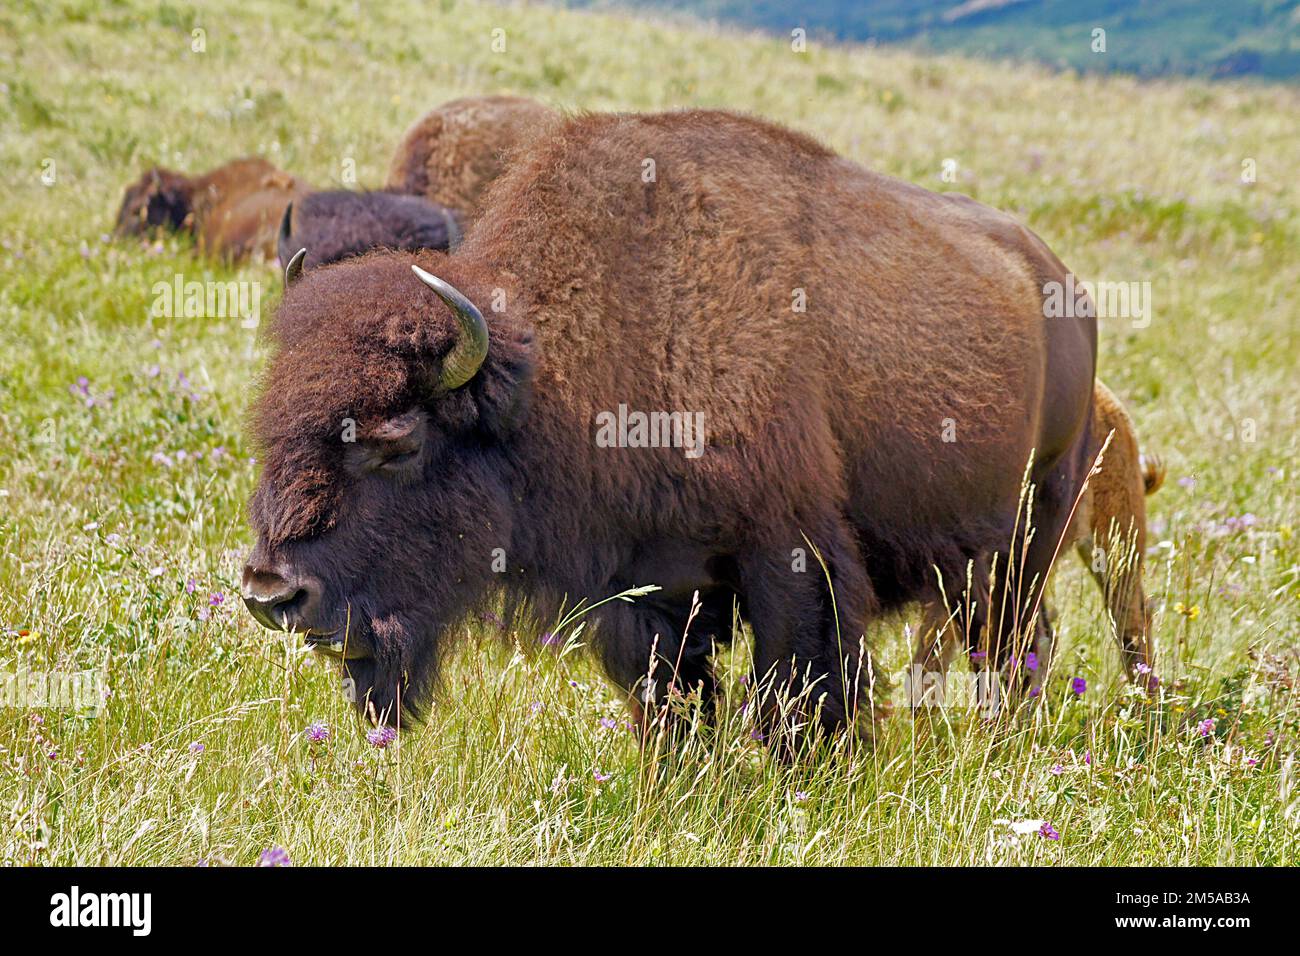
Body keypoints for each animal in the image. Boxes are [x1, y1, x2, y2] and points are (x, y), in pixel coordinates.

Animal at [242, 110, 1096, 751]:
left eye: (400, 443)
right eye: (276, 426)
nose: (269, 591)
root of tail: (1062, 286)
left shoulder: (790, 556)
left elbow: (799, 692)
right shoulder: (644, 591)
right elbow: (671, 705)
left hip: (1033, 529)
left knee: (1015, 641)